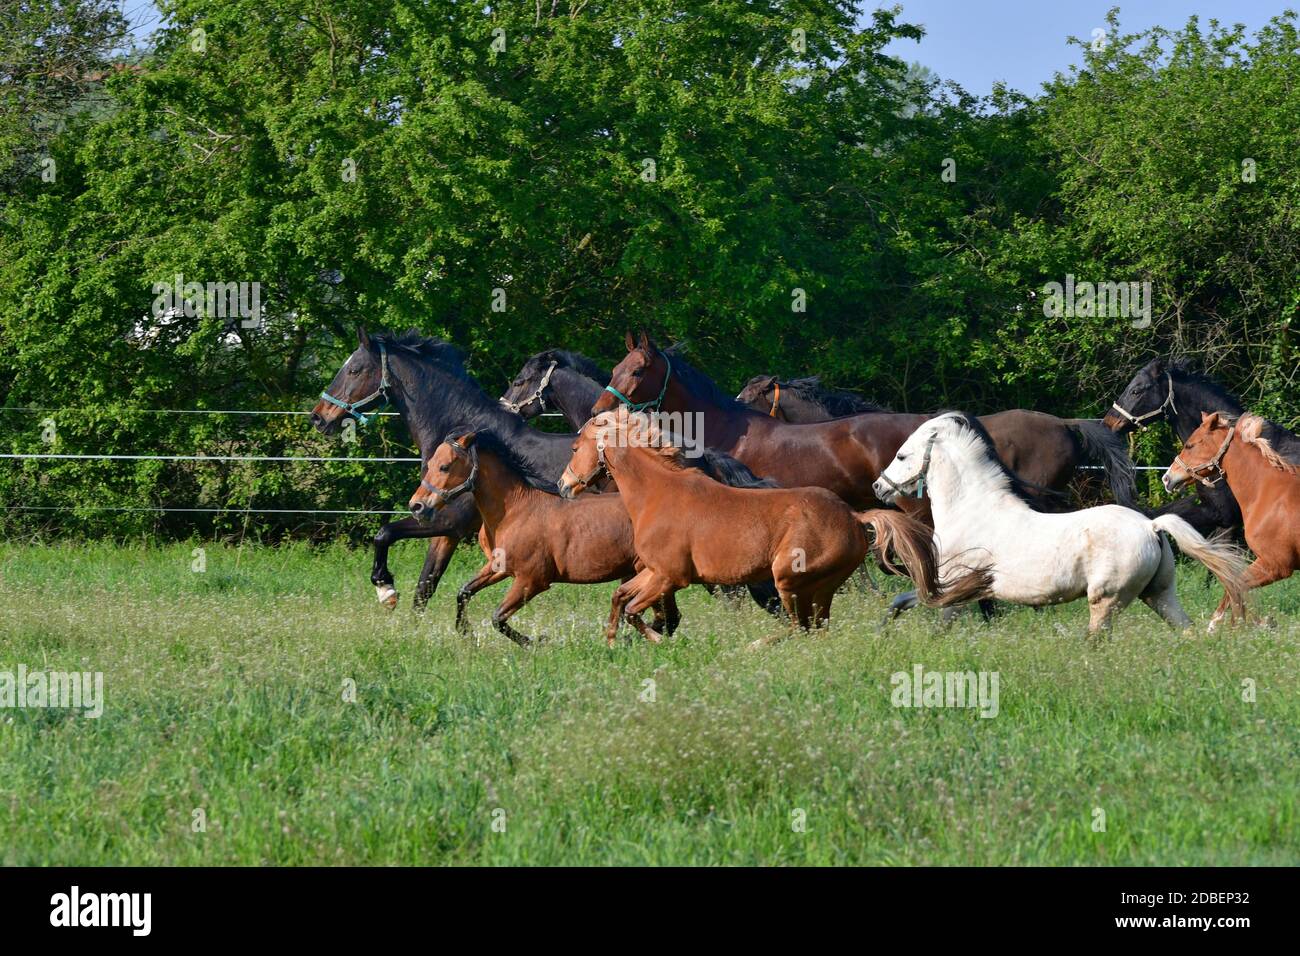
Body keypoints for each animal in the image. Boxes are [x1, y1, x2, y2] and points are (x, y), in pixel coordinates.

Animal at [407, 427, 678, 646]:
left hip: (652, 576)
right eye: (430, 464)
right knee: (665, 617)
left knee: (664, 617)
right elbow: (464, 592)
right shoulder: (500, 568)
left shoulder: (532, 580)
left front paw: (535, 642)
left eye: (444, 466)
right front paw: (467, 633)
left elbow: (497, 618)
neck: (515, 511)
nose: (416, 506)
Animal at [557, 408, 990, 648]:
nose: (563, 485)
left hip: (789, 579)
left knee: (797, 628)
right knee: (815, 629)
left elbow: (633, 608)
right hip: (821, 588)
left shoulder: (670, 577)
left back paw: (751, 647)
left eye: (575, 447)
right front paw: (612, 642)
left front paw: (656, 640)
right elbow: (620, 598)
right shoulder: (652, 572)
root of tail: (854, 517)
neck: (658, 491)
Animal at [872, 412, 1248, 633]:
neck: (972, 510)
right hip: (1160, 595)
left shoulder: (955, 590)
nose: (878, 487)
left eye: (902, 455)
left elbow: (940, 623)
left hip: (1106, 602)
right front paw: (881, 631)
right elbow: (901, 600)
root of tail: (1150, 527)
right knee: (1186, 629)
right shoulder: (949, 587)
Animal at [1162, 411, 1300, 628]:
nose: (1166, 479)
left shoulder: (1276, 566)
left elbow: (1235, 585)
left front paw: (1219, 625)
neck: (1266, 492)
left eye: (1189, 445)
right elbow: (1233, 587)